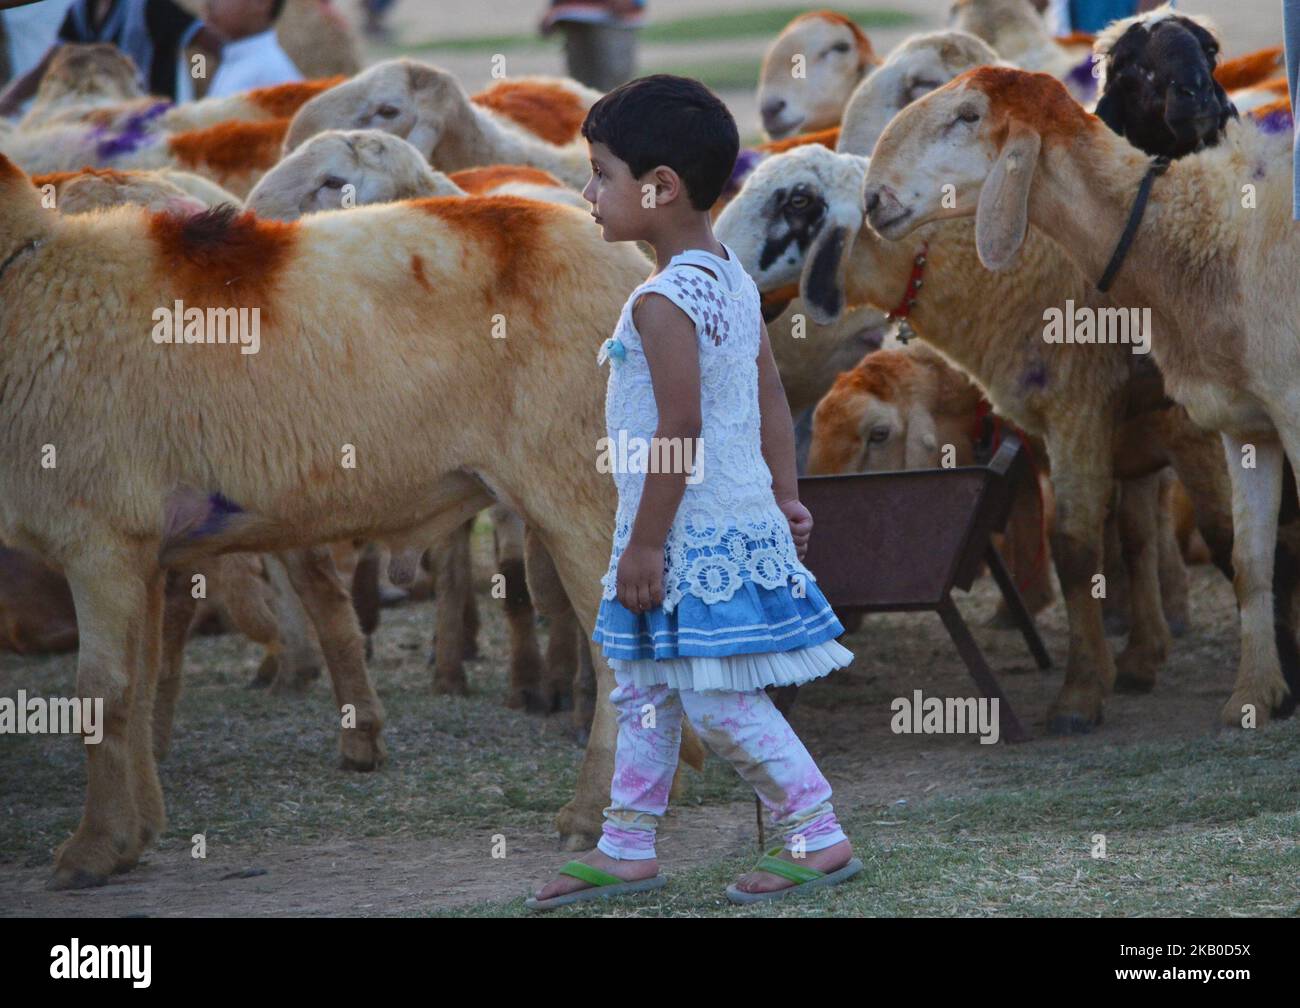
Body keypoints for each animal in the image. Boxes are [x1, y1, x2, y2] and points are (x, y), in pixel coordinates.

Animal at [0, 153, 669, 886]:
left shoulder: (98, 541)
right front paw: (134, 835)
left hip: (581, 493)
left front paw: (90, 849)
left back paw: (594, 814)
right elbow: (142, 686)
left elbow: (101, 694)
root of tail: (630, 262)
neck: (32, 274)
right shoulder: (143, 553)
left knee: (623, 663)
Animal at [717, 142, 1293, 731]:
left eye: (799, 200)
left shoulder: (1157, 421)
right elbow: (1128, 540)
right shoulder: (1103, 427)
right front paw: (1134, 662)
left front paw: (1082, 694)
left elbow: (1206, 540)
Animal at [861, 65, 1300, 726]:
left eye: (968, 115)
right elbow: (1252, 561)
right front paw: (1254, 696)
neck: (1196, 237)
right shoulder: (1245, 425)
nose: (872, 200)